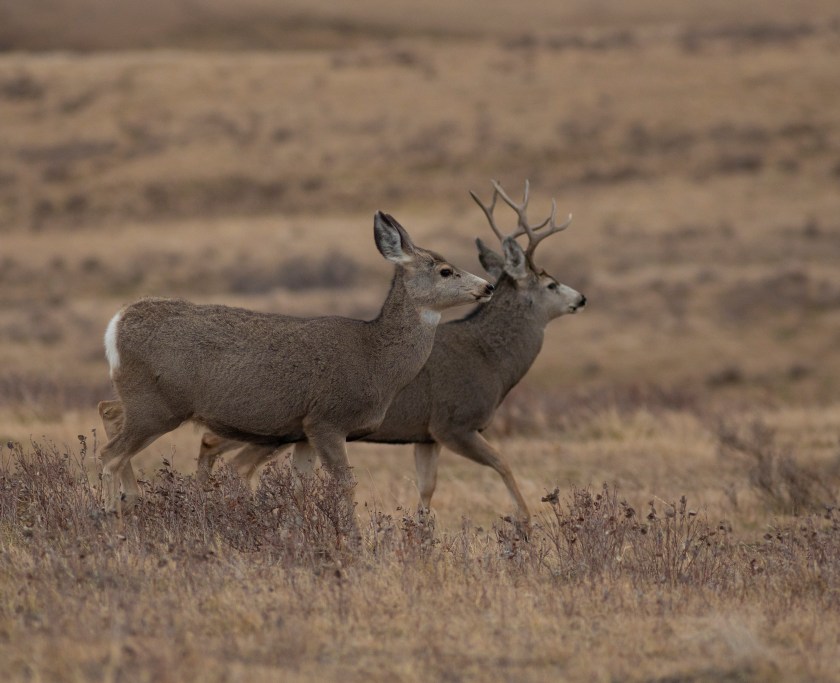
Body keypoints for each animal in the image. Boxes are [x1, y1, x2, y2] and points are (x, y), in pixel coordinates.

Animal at [100, 181, 585, 526]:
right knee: (111, 453)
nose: (485, 287)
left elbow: (404, 489)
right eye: (445, 270)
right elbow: (348, 487)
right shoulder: (344, 420)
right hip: (160, 405)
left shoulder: (311, 431)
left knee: (119, 422)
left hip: (201, 414)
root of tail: (116, 321)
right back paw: (114, 513)